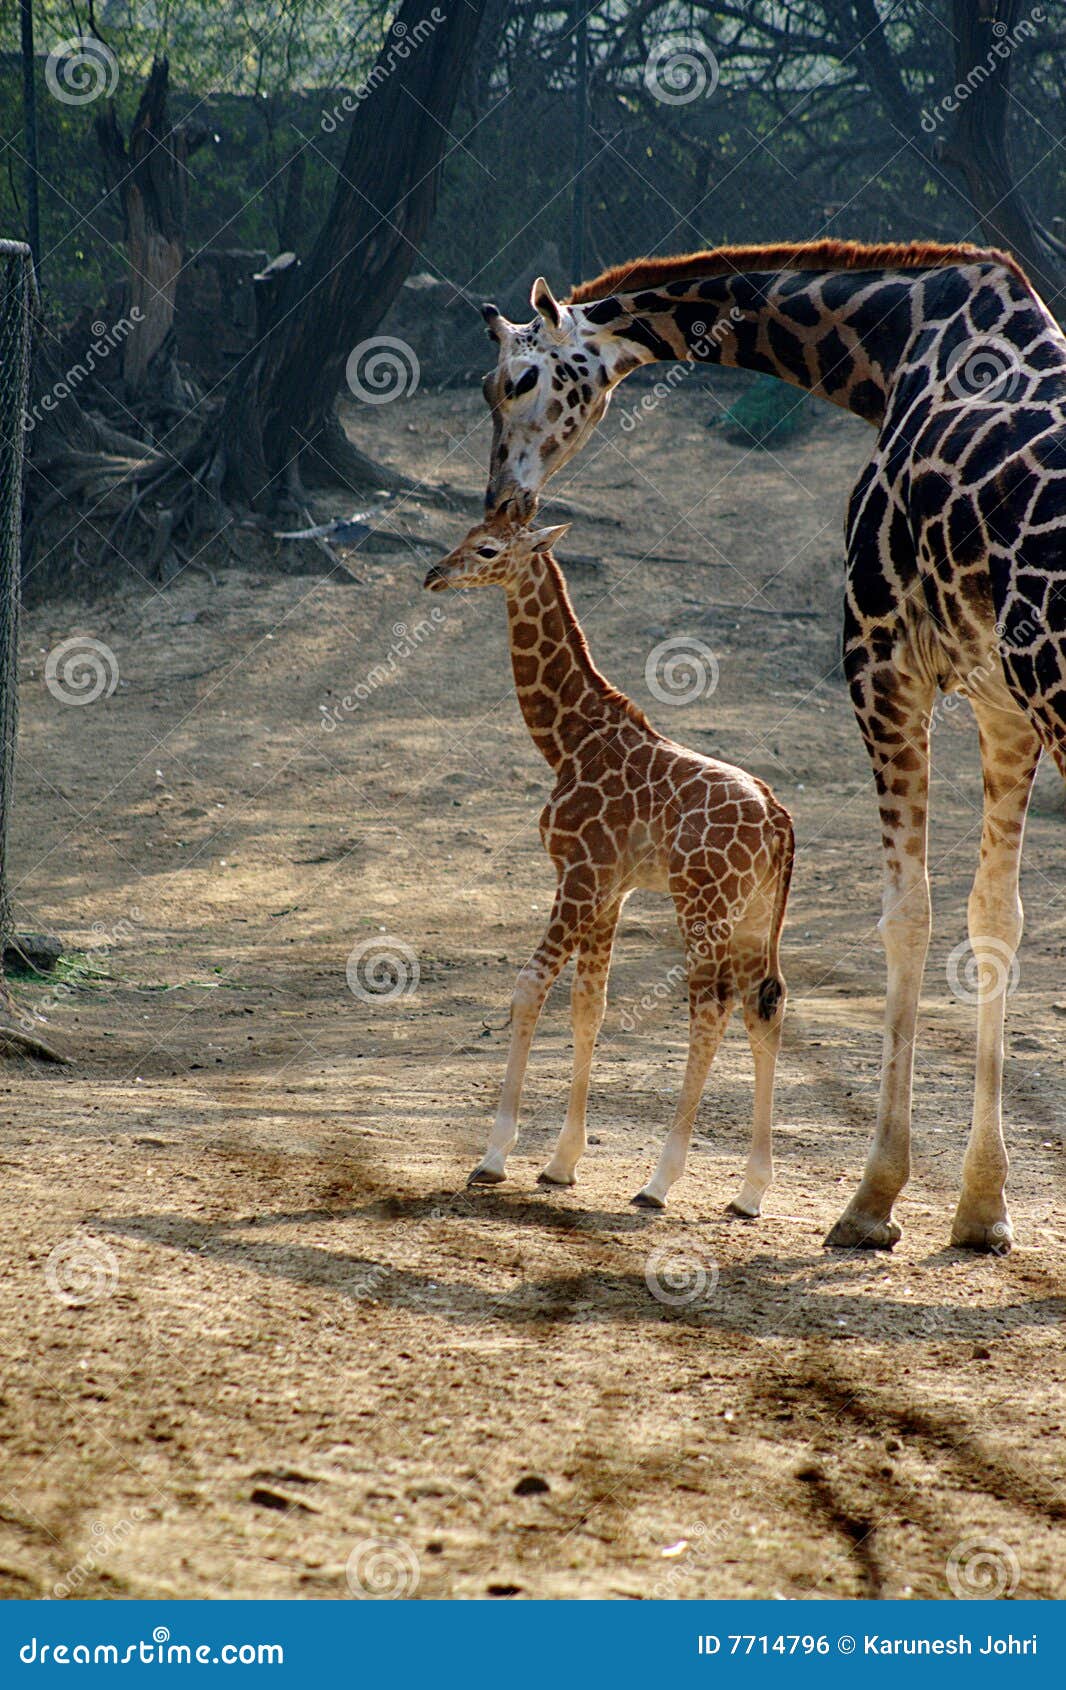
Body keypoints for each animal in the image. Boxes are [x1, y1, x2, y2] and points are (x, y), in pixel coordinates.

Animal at [424, 515, 794, 1212]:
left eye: (487, 548)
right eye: (466, 533)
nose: (434, 574)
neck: (569, 740)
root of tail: (780, 822)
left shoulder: (578, 872)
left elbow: (529, 989)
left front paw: (495, 1157)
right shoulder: (609, 890)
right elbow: (588, 1006)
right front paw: (560, 1163)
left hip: (703, 903)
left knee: (711, 1008)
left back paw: (658, 1182)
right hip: (755, 915)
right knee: (765, 1005)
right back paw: (750, 1193)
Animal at [477, 239, 1066, 1253]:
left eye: (515, 381)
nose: (501, 499)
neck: (886, 353)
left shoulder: (883, 656)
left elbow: (908, 916)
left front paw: (873, 1200)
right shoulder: (1000, 704)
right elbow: (995, 917)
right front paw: (982, 1209)